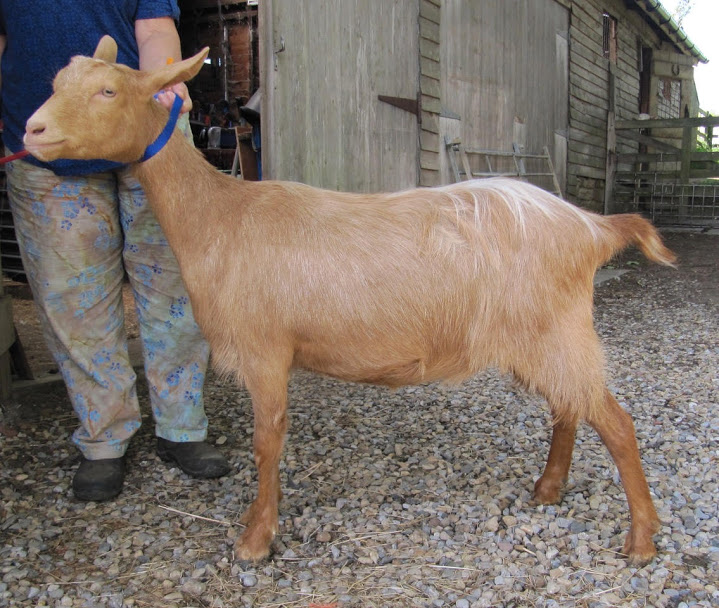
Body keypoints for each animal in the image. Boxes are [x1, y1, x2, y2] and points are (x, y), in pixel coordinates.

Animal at [24, 36, 675, 565]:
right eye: (55, 84)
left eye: (108, 90)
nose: (31, 131)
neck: (219, 217)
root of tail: (592, 227)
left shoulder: (265, 350)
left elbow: (267, 442)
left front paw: (255, 540)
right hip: (541, 334)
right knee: (570, 407)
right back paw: (548, 490)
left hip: (553, 329)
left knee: (616, 423)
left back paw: (641, 541)